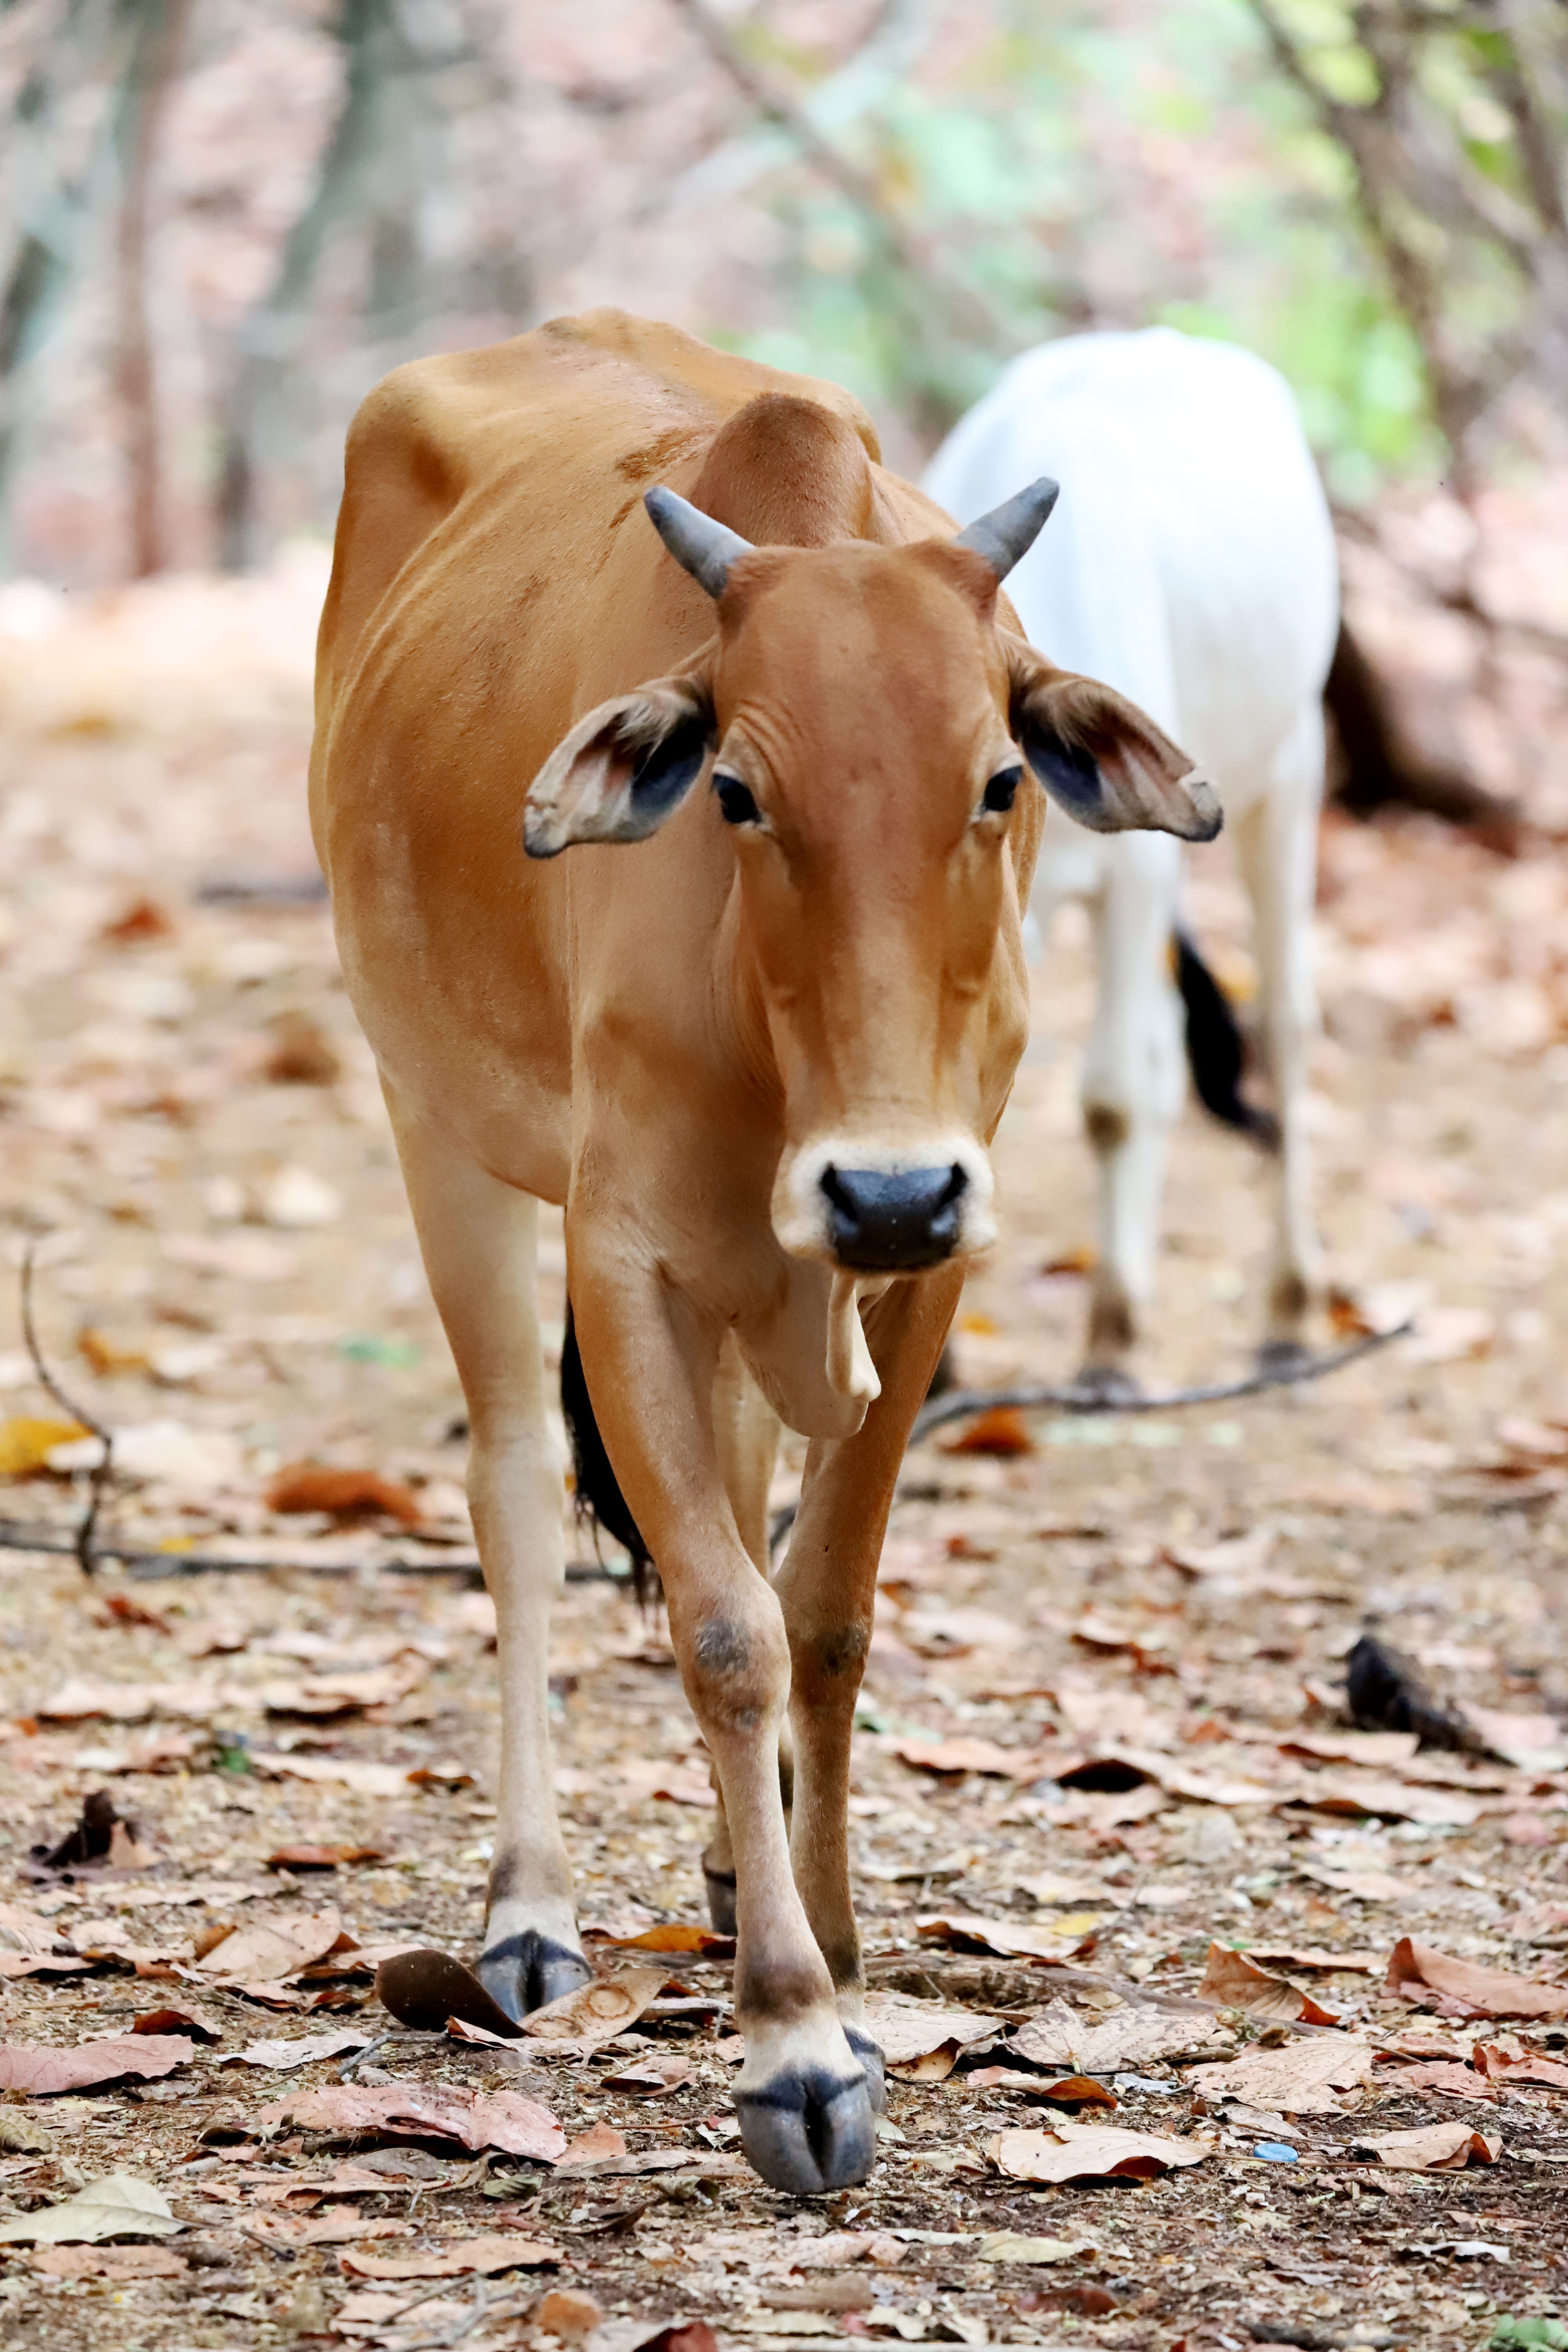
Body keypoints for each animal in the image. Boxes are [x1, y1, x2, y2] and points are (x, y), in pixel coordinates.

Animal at [310, 309, 1219, 2193]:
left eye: (998, 779)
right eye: (734, 785)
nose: (880, 1190)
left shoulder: (933, 1255)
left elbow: (823, 1613)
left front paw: (836, 1949)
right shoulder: (623, 1259)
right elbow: (722, 1622)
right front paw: (796, 2048)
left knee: (731, 1490)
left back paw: (745, 1876)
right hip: (436, 1127)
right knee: (517, 1492)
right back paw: (531, 1911)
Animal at [926, 328, 1339, 1396]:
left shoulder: (1141, 870)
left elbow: (1112, 1097)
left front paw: (1108, 1344)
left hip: (1292, 763)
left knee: (1283, 1027)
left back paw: (1289, 1306)